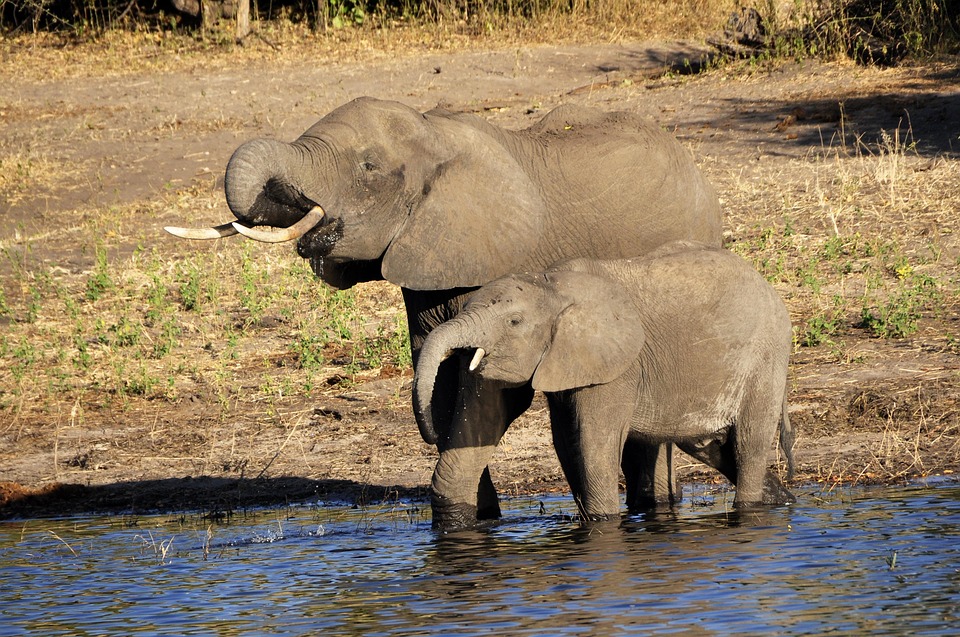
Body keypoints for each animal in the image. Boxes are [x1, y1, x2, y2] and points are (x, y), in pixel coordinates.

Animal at [164, 96, 723, 529]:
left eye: (368, 168)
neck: (435, 134)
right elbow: (441, 378)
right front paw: (478, 519)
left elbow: (487, 390)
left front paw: (458, 520)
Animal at [414, 241, 796, 520]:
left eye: (514, 322)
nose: (431, 432)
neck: (552, 286)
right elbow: (567, 442)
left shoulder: (617, 368)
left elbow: (595, 443)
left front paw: (603, 523)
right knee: (708, 444)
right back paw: (782, 500)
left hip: (765, 357)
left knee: (749, 443)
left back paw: (751, 509)